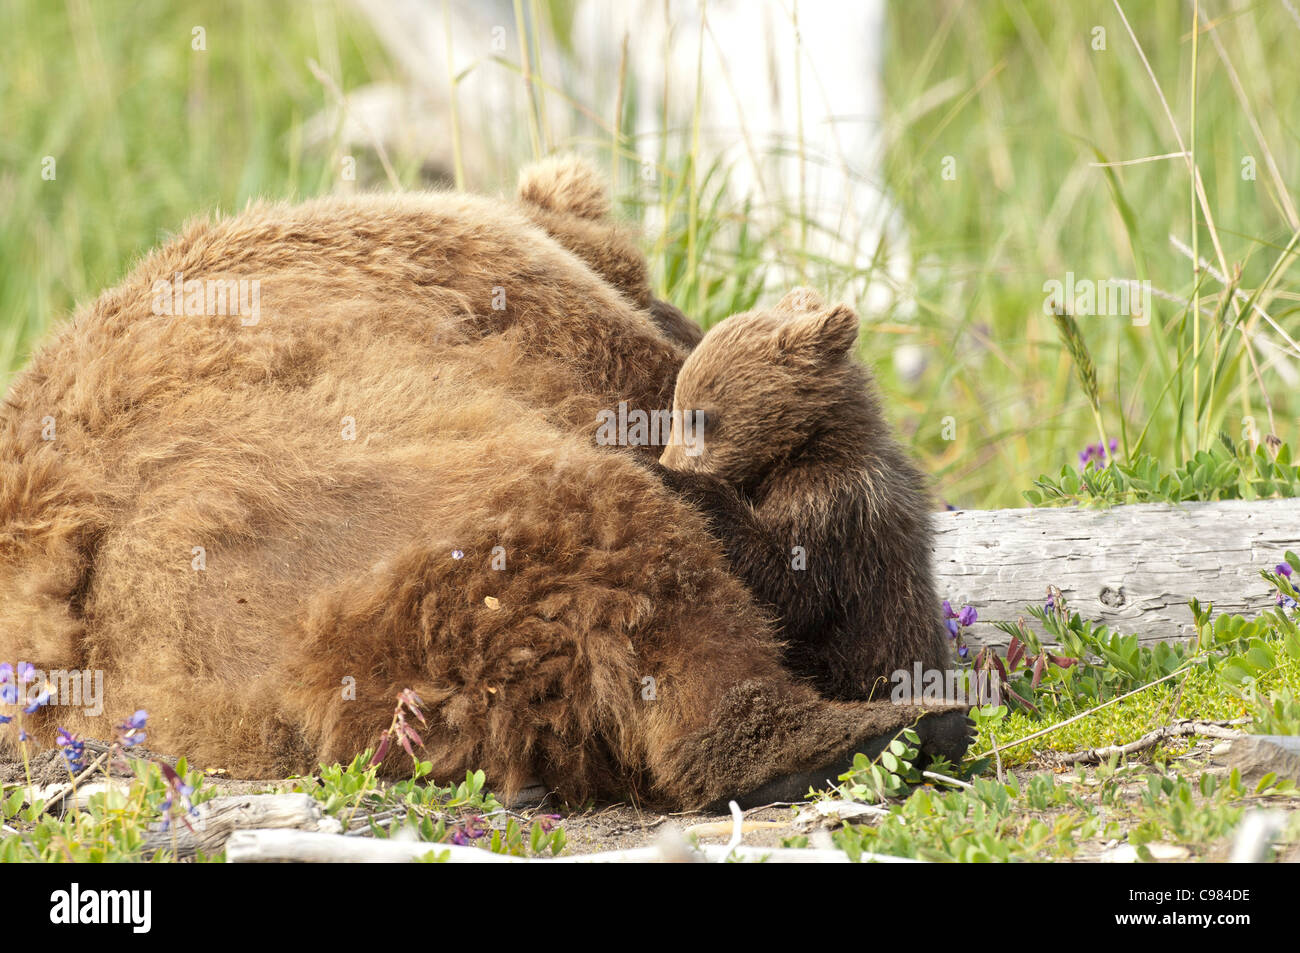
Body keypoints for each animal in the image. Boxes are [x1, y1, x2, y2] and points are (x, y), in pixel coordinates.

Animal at [657, 287, 950, 702]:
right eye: (676, 407)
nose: (668, 458)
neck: (804, 448)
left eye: (698, 416)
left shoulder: (834, 506)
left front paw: (674, 477)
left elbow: (792, 589)